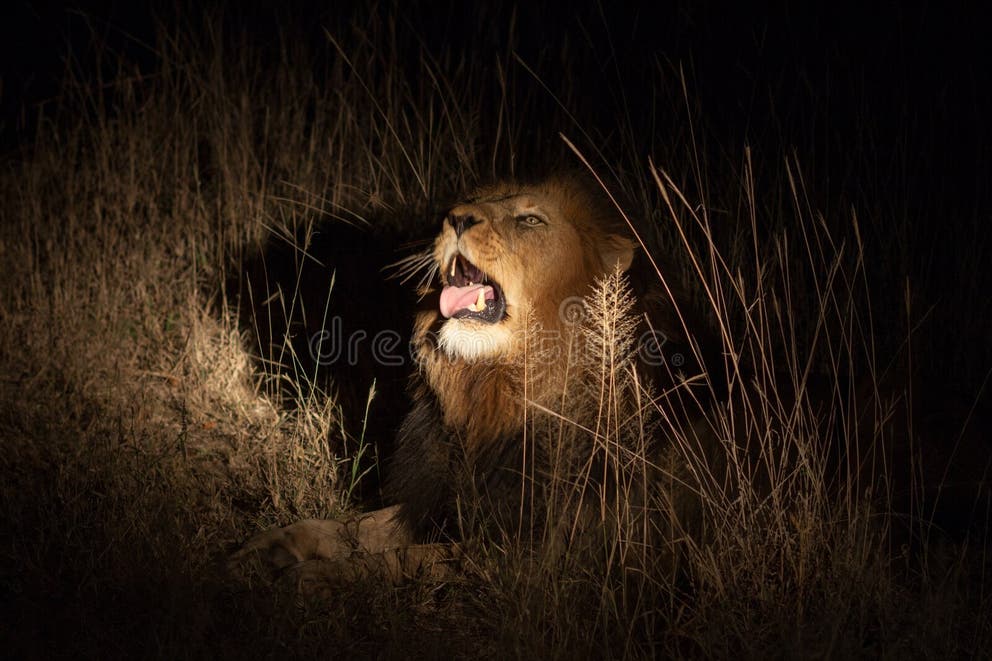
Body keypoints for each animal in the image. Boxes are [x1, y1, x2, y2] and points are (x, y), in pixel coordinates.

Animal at [233, 174, 705, 584]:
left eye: (530, 220)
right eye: (468, 204)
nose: (455, 218)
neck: (493, 392)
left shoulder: (536, 554)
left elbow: (399, 561)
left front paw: (314, 578)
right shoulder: (440, 495)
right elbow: (350, 528)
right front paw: (270, 548)